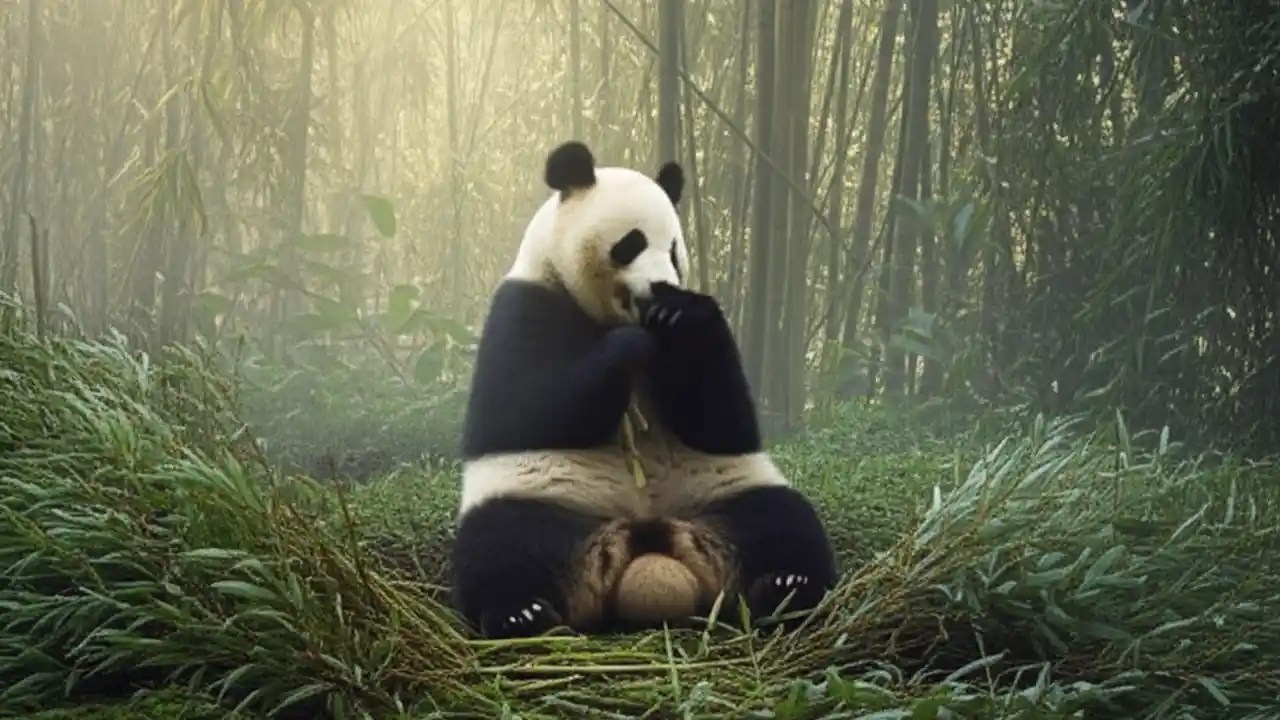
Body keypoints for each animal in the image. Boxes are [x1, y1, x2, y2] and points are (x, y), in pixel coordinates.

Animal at [449, 140, 837, 639]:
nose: (661, 286)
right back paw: (522, 613)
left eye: (673, 251)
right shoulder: (526, 305)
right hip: (545, 499)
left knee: (782, 521)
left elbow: (724, 423)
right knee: (502, 542)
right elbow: (521, 410)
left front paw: (683, 313)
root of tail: (645, 537)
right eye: (630, 244)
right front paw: (628, 345)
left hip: (723, 494)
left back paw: (788, 587)